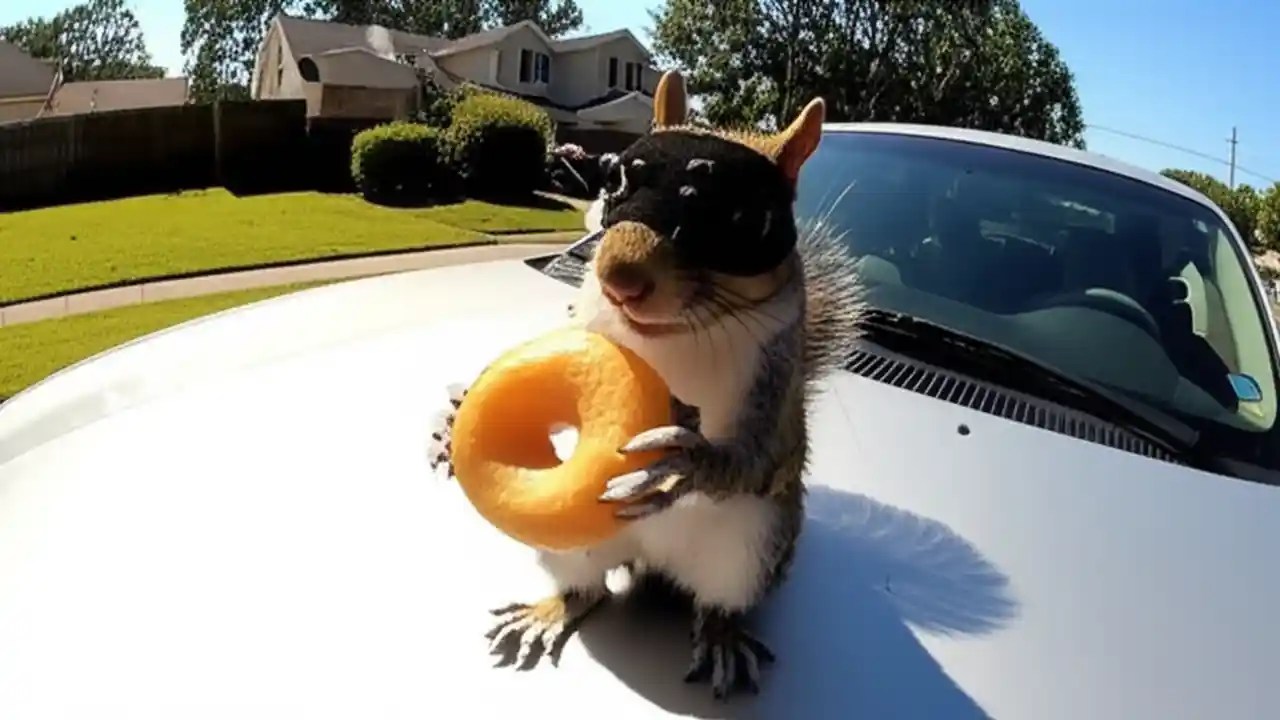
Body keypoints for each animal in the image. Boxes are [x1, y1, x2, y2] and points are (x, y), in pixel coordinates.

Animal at [427, 70, 866, 700]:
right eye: (614, 179)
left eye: (735, 216)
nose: (620, 277)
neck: (674, 334)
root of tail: (648, 559)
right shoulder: (583, 327)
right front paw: (451, 419)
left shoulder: (774, 381)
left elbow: (755, 455)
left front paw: (685, 463)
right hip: (571, 542)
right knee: (586, 588)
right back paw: (548, 613)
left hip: (749, 550)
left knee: (719, 601)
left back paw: (721, 637)